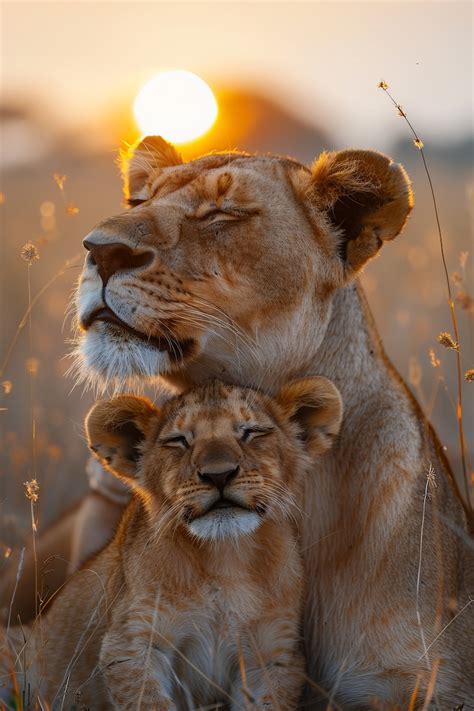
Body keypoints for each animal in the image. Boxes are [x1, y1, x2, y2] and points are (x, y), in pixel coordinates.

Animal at [2, 376, 342, 709]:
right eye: (179, 440)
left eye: (251, 432)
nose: (219, 475)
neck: (224, 560)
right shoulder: (132, 643)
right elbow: (149, 702)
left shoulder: (273, 656)